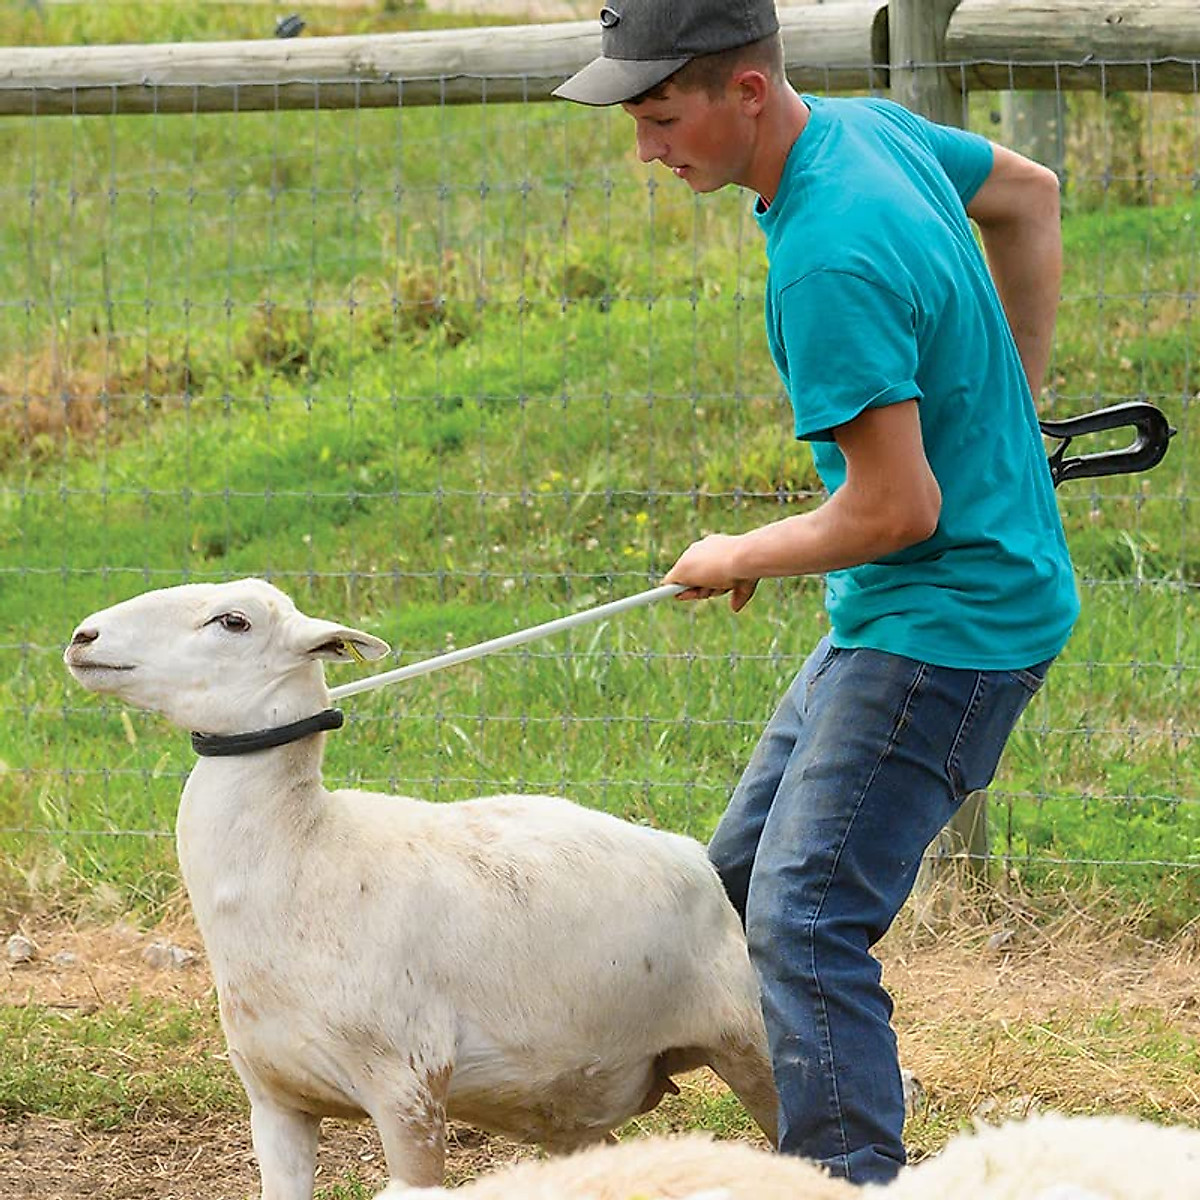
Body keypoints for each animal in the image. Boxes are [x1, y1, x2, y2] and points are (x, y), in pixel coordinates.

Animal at [63, 578, 778, 1200]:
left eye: (233, 622)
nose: (82, 635)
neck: (306, 853)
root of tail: (694, 856)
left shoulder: (408, 1091)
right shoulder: (274, 1100)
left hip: (752, 1043)